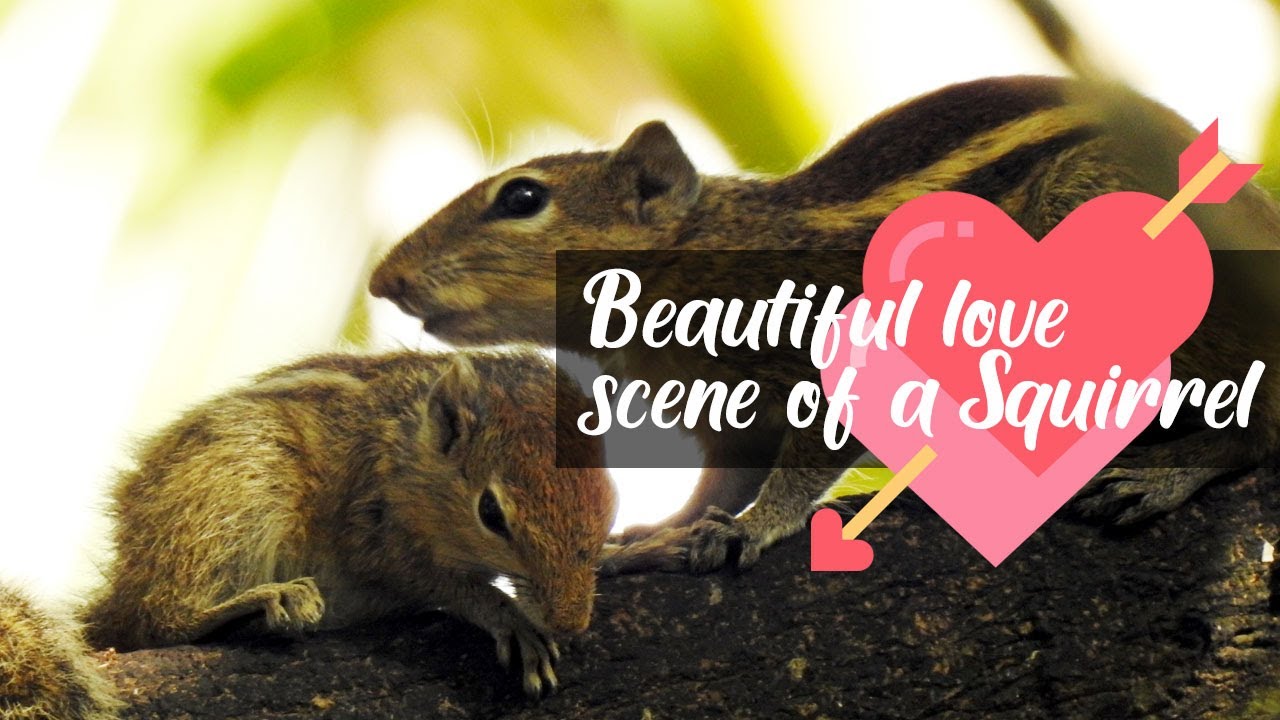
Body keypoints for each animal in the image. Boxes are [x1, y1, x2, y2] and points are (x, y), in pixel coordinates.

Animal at [74, 348, 615, 699]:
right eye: (490, 513)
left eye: (611, 502)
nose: (571, 622)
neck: (409, 451)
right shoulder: (374, 530)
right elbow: (439, 582)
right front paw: (509, 616)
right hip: (243, 473)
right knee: (160, 619)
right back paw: (262, 601)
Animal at [367, 74, 1280, 575]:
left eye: (522, 197)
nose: (382, 280)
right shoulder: (731, 420)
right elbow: (723, 479)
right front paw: (667, 529)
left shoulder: (824, 362)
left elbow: (798, 468)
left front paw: (751, 530)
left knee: (1255, 419)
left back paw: (1167, 469)